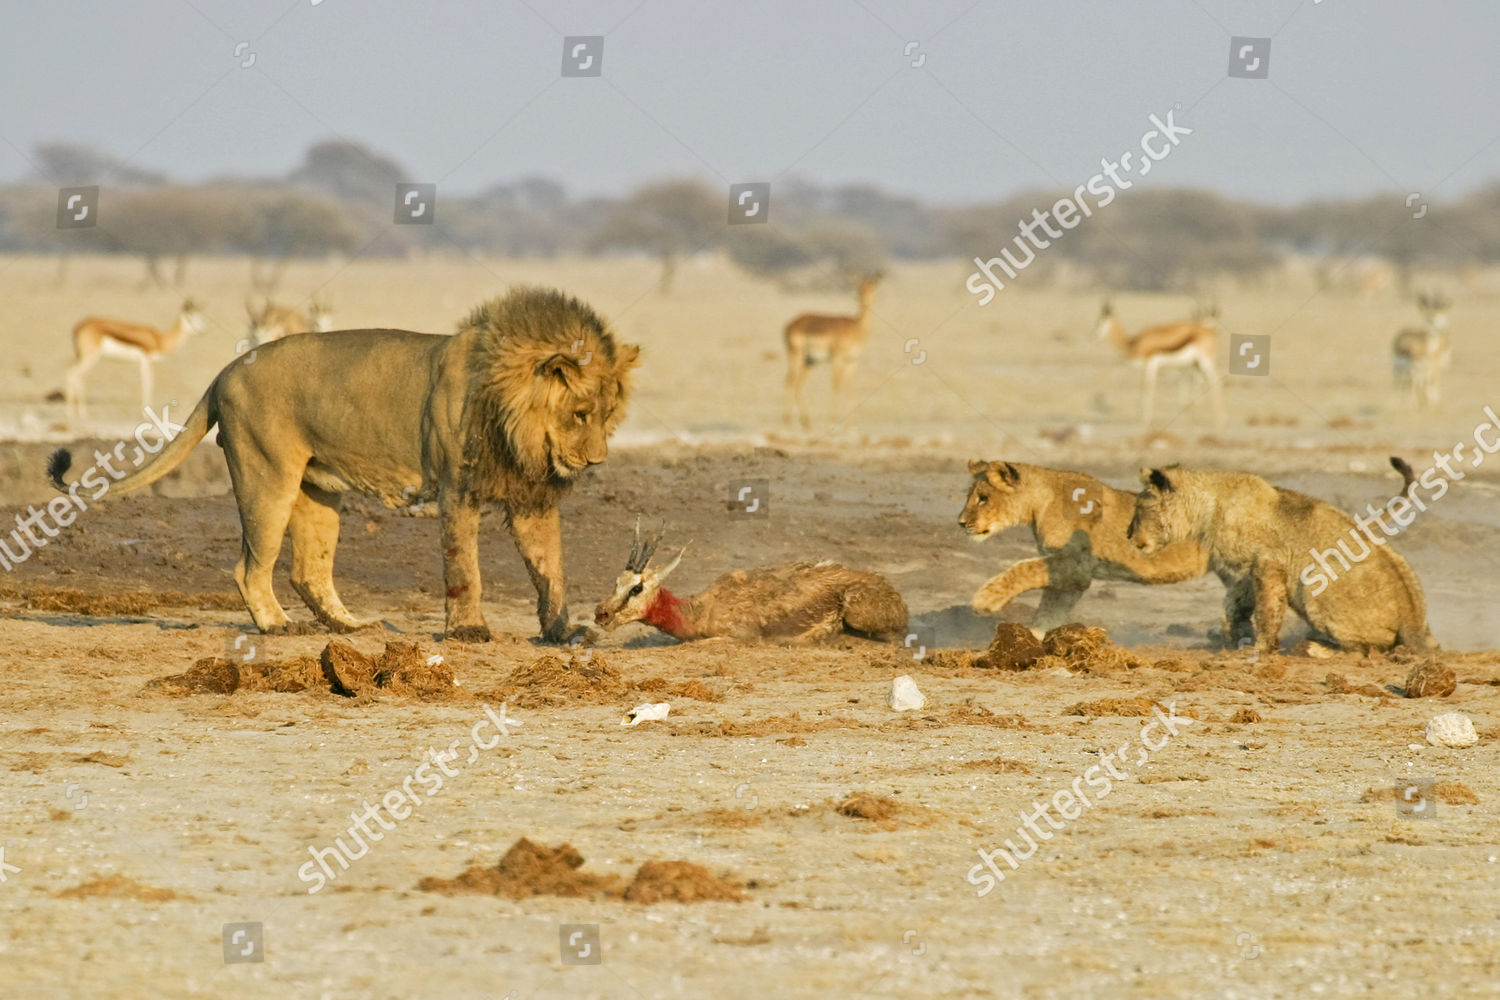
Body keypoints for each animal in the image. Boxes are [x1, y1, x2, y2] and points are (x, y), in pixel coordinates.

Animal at [46, 287, 640, 642]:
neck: (518, 428)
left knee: (308, 570)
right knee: (250, 567)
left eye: (609, 416)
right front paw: (470, 631)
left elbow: (551, 569)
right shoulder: (458, 490)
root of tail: (225, 370)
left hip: (317, 491)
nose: (598, 458)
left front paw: (563, 631)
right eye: (581, 413)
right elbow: (464, 571)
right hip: (267, 478)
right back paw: (279, 626)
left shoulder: (531, 499)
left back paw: (349, 625)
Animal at [958, 460, 1208, 633]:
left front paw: (985, 600)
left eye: (983, 498)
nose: (960, 523)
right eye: (970, 496)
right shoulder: (1072, 580)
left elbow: (1022, 569)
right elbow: (1049, 612)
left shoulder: (1075, 566)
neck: (1039, 505)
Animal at [1128, 465, 1434, 654]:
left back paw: (1315, 648)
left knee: (1368, 650)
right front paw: (1234, 637)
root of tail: (1413, 620)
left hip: (1313, 587)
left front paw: (1260, 648)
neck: (1207, 508)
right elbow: (1232, 608)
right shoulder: (1242, 573)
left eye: (1141, 507)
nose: (1129, 535)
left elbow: (1267, 610)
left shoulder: (1267, 564)